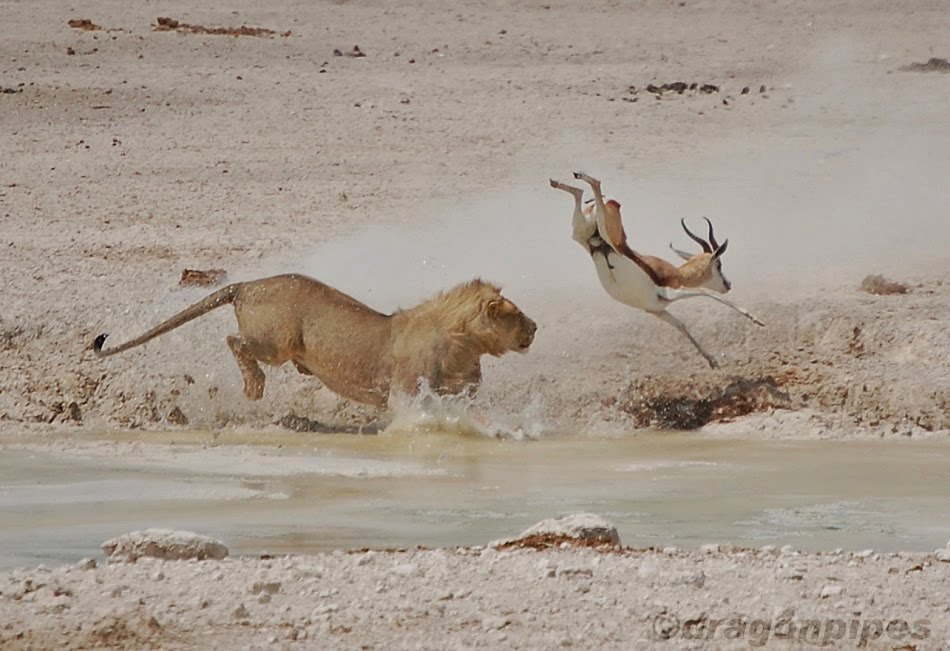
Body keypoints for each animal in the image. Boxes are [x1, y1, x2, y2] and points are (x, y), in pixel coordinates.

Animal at [93, 274, 537, 409]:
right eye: (515, 314)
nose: (535, 327)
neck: (466, 346)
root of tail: (246, 284)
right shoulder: (406, 391)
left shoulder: (466, 391)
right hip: (276, 341)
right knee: (234, 340)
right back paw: (254, 388)